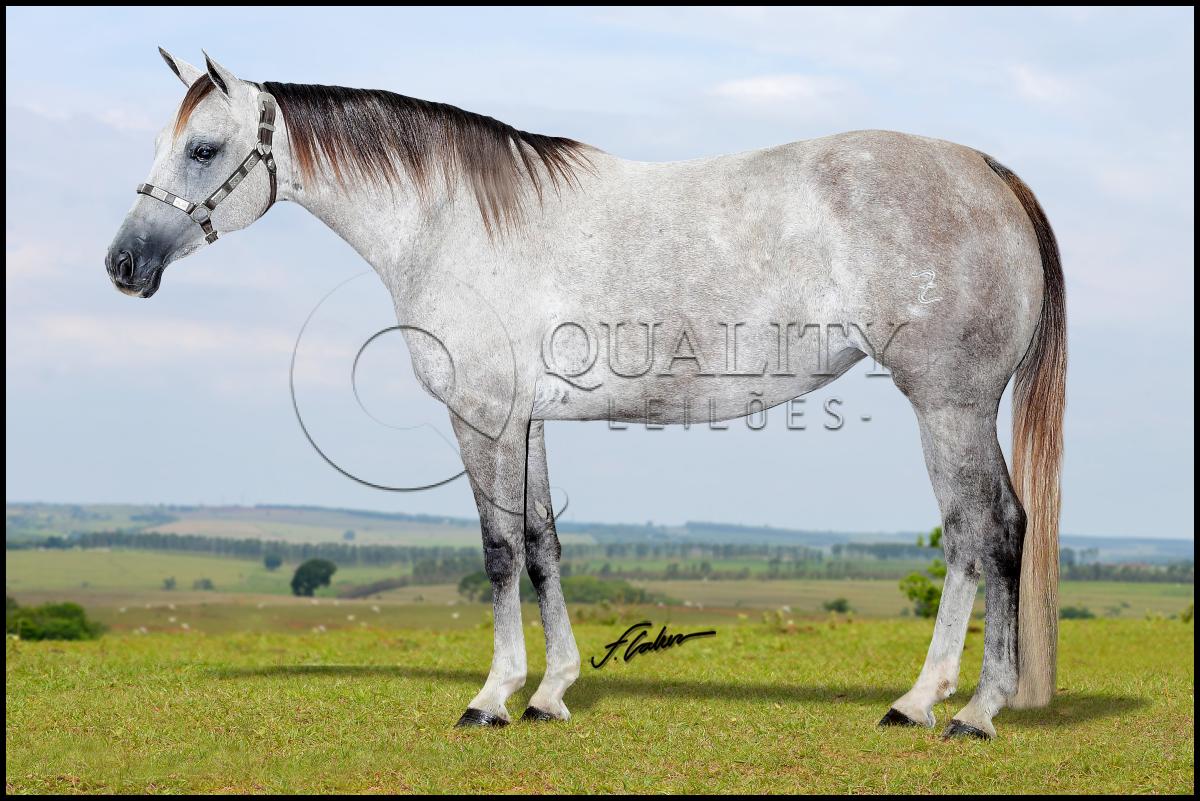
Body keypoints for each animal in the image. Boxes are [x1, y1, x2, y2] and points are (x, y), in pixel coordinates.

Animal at [106, 50, 1065, 740]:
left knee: (980, 535)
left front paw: (492, 696)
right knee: (994, 533)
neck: (453, 223)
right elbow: (542, 545)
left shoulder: (482, 417)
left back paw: (954, 707)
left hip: (948, 408)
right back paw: (962, 700)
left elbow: (498, 552)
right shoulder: (526, 421)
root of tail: (987, 171)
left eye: (202, 148)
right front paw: (551, 691)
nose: (122, 264)